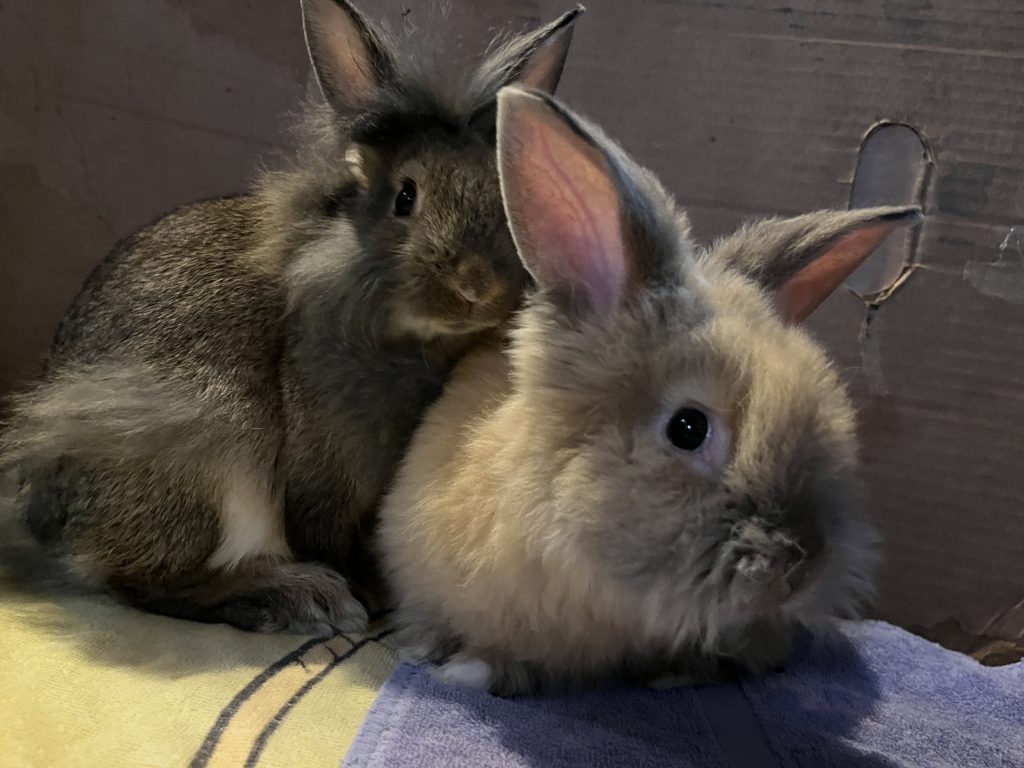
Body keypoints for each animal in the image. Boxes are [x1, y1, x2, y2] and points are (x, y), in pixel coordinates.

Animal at [0, 1, 584, 635]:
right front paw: (367, 593)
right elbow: (325, 530)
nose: (476, 285)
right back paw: (296, 596)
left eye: (502, 198)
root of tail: (49, 519)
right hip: (206, 446)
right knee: (150, 584)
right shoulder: (320, 464)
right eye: (406, 197)